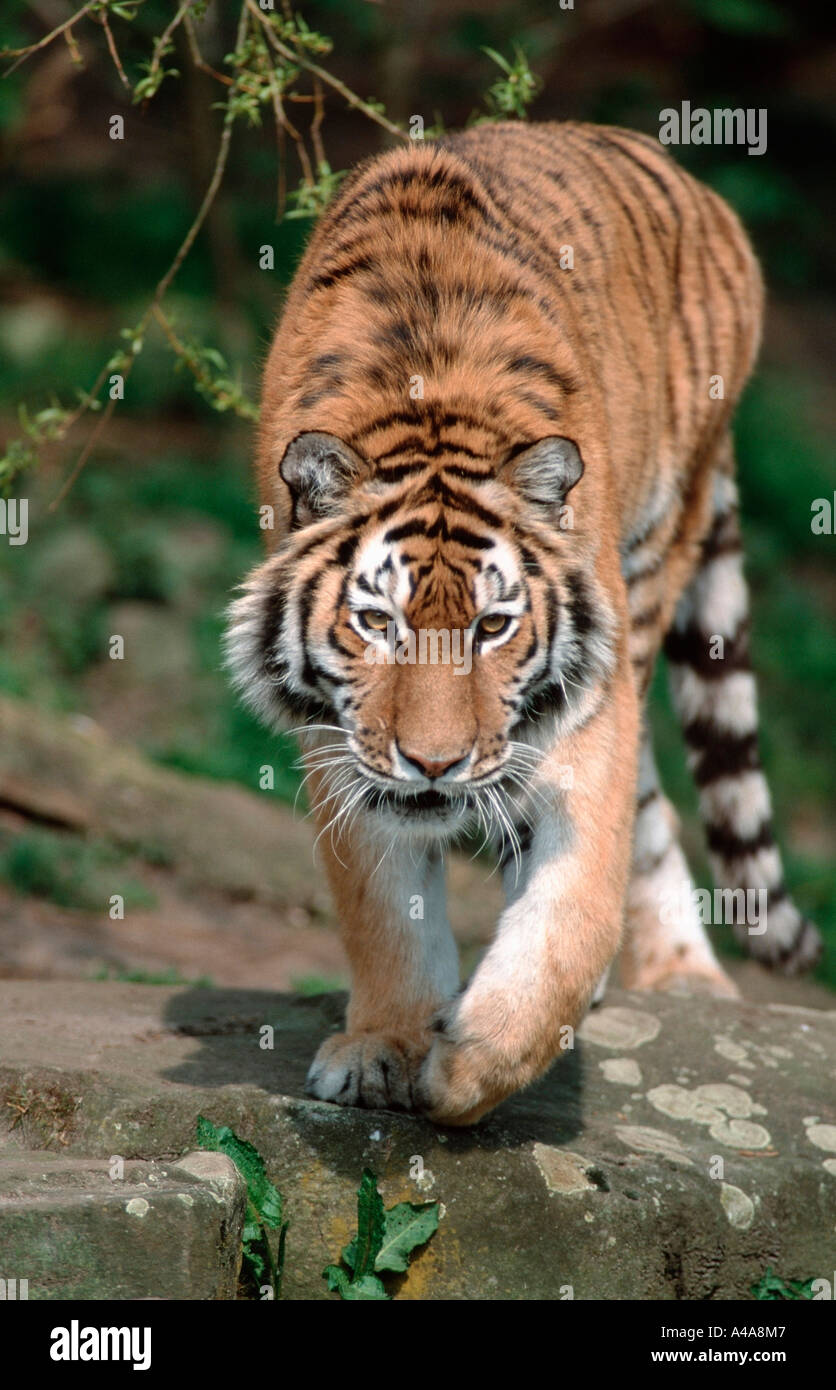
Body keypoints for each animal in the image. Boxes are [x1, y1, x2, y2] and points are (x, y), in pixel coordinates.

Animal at [225, 119, 821, 1126]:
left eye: (494, 627)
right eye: (376, 623)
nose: (434, 764)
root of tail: (695, 187)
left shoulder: (583, 714)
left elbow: (573, 909)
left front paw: (476, 1061)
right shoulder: (342, 743)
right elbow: (383, 907)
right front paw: (387, 1043)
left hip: (656, 564)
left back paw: (675, 975)